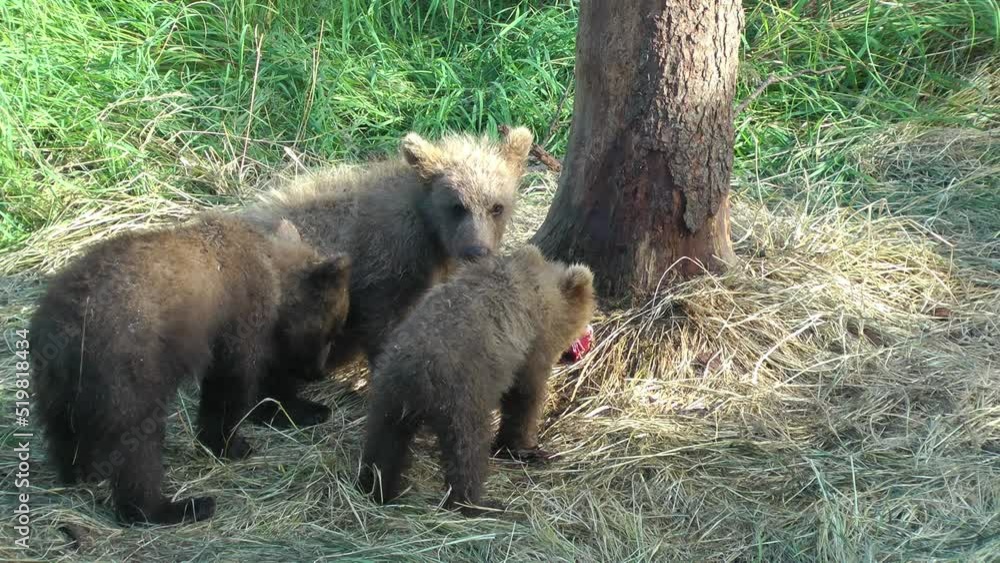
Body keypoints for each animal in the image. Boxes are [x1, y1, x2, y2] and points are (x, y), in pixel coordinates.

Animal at [29, 213, 351, 525]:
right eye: (331, 333)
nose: (318, 372)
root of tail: (60, 331)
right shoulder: (238, 317)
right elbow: (232, 383)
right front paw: (230, 445)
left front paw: (305, 409)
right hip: (125, 367)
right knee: (137, 443)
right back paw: (177, 507)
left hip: (58, 387)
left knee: (64, 431)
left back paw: (80, 472)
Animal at [244, 127, 533, 428]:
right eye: (457, 206)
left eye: (496, 207)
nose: (476, 251)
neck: (429, 234)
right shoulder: (383, 268)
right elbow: (382, 328)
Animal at [357, 245, 596, 515]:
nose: (589, 337)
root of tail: (416, 377)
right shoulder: (531, 346)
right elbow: (524, 397)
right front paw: (525, 446)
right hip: (462, 397)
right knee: (467, 452)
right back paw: (472, 503)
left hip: (389, 397)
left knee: (384, 443)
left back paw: (376, 487)